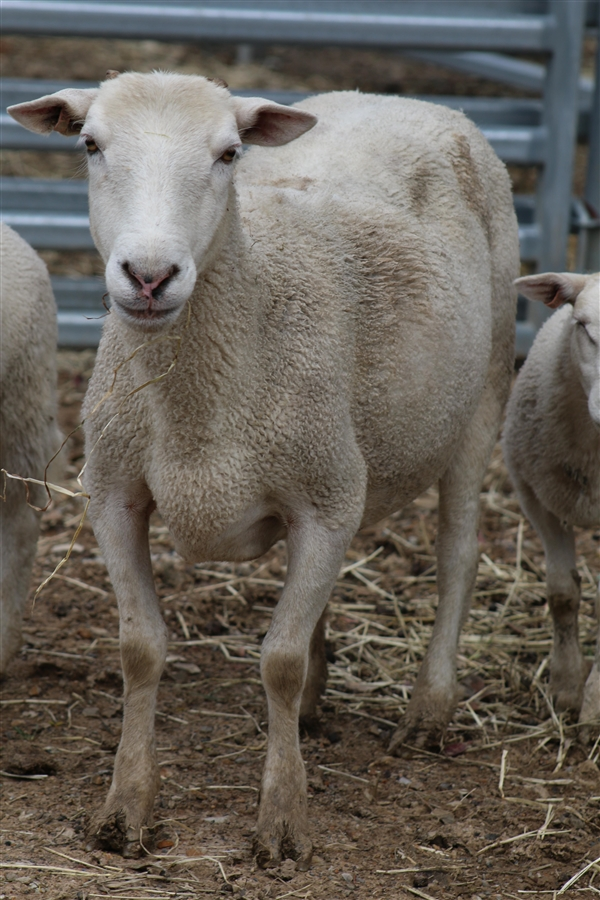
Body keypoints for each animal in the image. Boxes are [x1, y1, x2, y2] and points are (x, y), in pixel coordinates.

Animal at [9, 73, 519, 867]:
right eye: (90, 144)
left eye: (229, 153)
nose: (149, 276)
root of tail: (397, 96)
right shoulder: (113, 494)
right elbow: (139, 649)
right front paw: (125, 808)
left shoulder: (325, 500)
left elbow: (276, 661)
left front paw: (282, 822)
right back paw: (313, 704)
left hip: (484, 388)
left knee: (458, 554)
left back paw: (429, 710)